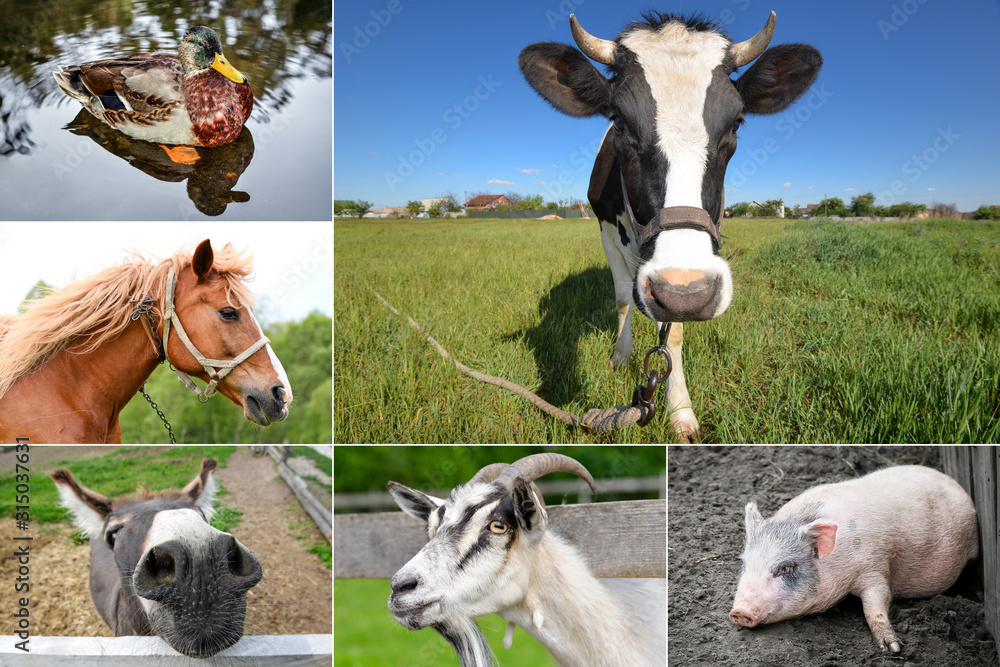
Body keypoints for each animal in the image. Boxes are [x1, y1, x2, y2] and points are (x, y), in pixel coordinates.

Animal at [519, 11, 822, 439]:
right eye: (619, 121)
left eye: (736, 123)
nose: (685, 291)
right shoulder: (607, 234)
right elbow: (623, 299)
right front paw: (620, 354)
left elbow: (673, 332)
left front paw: (680, 410)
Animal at [729, 465, 978, 653]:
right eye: (745, 563)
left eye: (785, 568)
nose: (739, 612)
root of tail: (956, 485)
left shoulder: (875, 565)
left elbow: (876, 603)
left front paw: (893, 648)